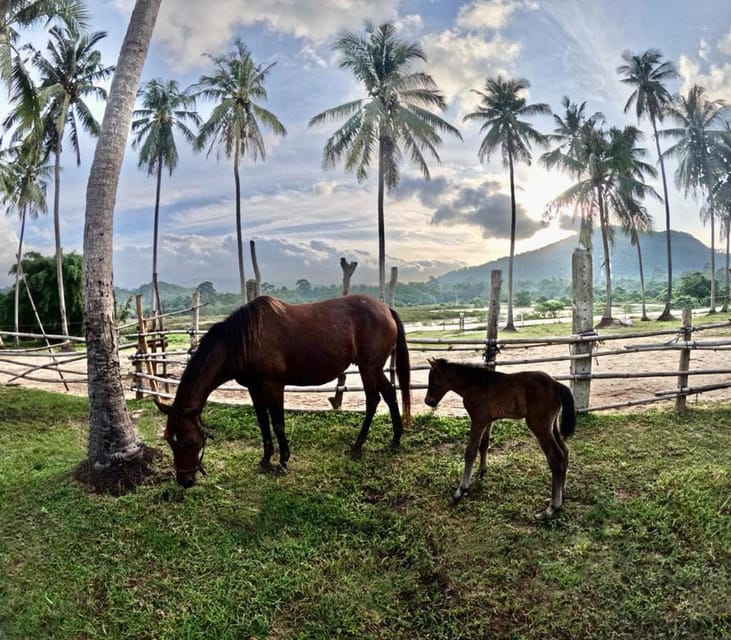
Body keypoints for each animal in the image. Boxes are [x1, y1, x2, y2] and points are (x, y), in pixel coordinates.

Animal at [155, 294, 411, 488]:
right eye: (169, 440)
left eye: (188, 441)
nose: (185, 481)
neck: (244, 342)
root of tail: (386, 309)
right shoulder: (254, 389)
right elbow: (263, 423)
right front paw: (265, 459)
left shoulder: (274, 385)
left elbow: (278, 423)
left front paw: (283, 462)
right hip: (374, 369)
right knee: (389, 395)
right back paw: (396, 438)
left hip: (368, 368)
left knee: (373, 400)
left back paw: (358, 445)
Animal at [423, 358, 575, 520]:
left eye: (434, 379)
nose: (428, 401)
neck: (474, 383)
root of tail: (556, 384)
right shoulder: (488, 420)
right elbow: (484, 445)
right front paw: (481, 471)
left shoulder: (478, 420)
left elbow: (470, 452)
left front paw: (460, 491)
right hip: (552, 426)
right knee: (565, 451)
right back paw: (562, 494)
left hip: (539, 427)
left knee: (556, 458)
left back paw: (551, 508)